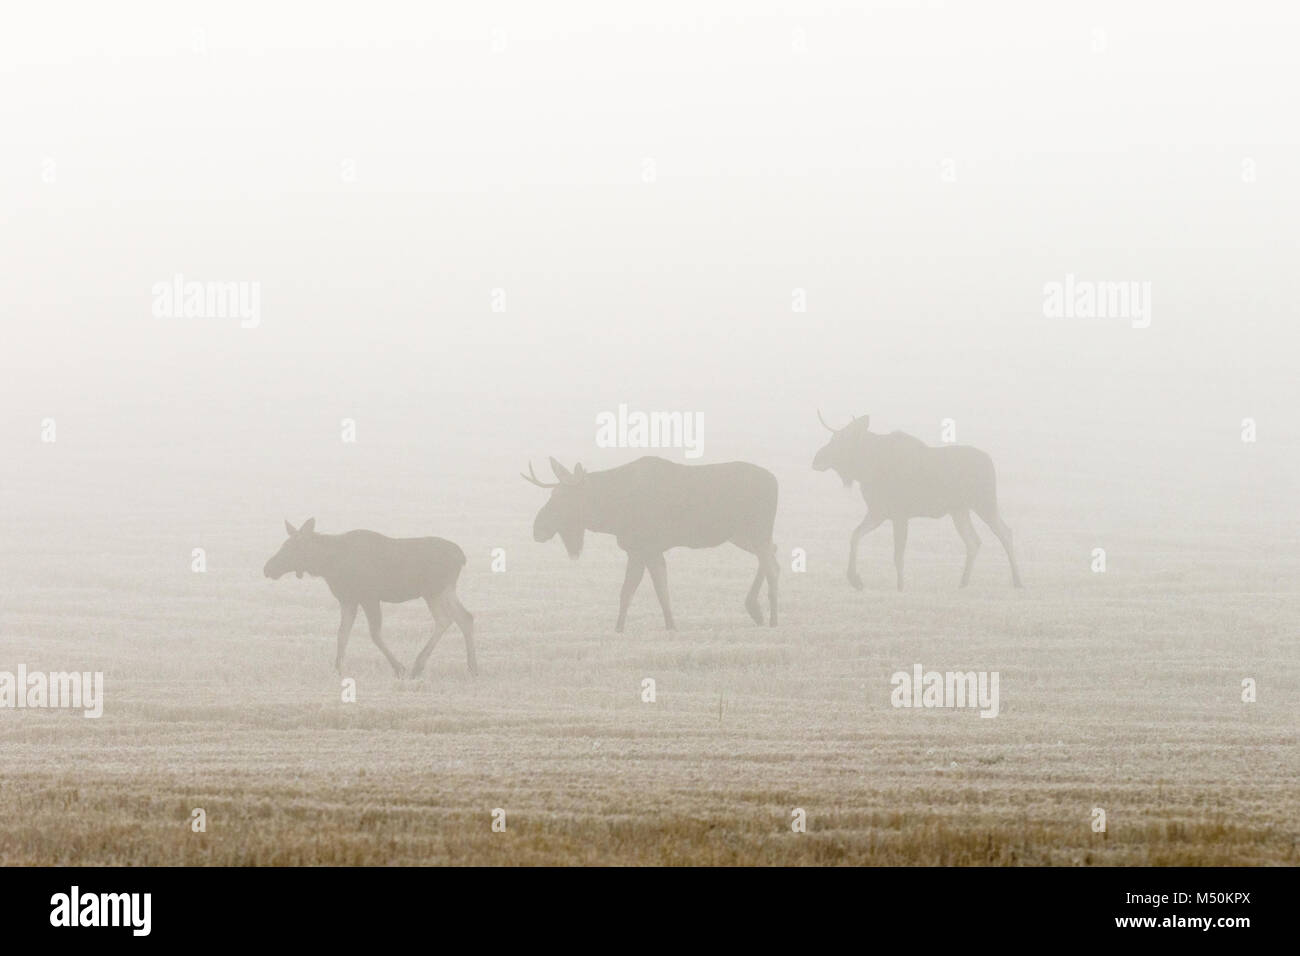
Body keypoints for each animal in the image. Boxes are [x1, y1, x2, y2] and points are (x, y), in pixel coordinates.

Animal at [262, 518, 476, 678]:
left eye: (292, 546)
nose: (267, 568)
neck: (327, 564)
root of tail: (462, 557)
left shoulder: (369, 597)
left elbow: (374, 634)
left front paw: (399, 668)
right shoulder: (348, 599)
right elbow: (342, 633)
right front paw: (338, 669)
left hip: (434, 591)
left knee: (446, 618)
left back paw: (418, 665)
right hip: (443, 590)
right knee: (464, 617)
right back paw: (471, 666)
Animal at [522, 456, 780, 630]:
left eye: (562, 497)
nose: (538, 529)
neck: (611, 512)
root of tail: (775, 481)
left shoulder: (645, 547)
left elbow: (643, 590)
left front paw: (650, 627)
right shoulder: (641, 550)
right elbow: (644, 591)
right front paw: (654, 626)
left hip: (756, 530)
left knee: (771, 565)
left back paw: (771, 618)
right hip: (741, 535)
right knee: (773, 556)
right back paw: (756, 610)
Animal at [812, 413, 1023, 591]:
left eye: (842, 441)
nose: (816, 459)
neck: (866, 469)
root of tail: (990, 461)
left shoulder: (898, 515)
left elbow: (898, 555)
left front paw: (900, 587)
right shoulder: (878, 513)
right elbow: (855, 535)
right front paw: (855, 579)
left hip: (985, 503)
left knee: (1005, 532)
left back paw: (1017, 581)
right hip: (959, 511)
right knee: (974, 541)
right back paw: (963, 582)